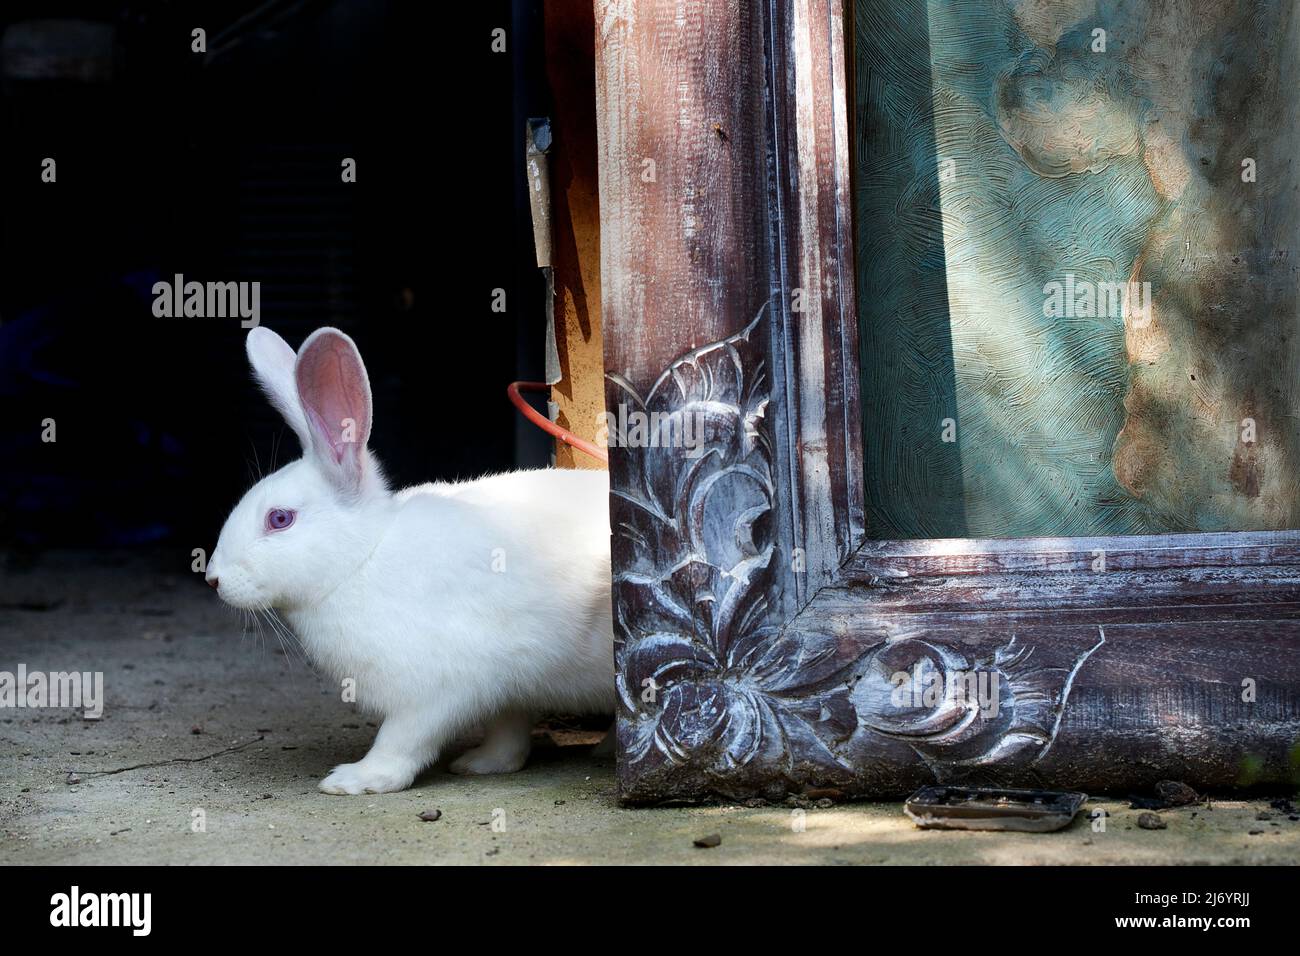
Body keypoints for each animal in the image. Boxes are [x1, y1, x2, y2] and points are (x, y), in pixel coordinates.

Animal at [207, 326, 616, 794]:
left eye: (279, 519)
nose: (213, 578)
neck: (363, 558)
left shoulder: (435, 691)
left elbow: (402, 740)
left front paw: (356, 780)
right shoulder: (507, 687)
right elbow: (508, 730)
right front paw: (482, 764)